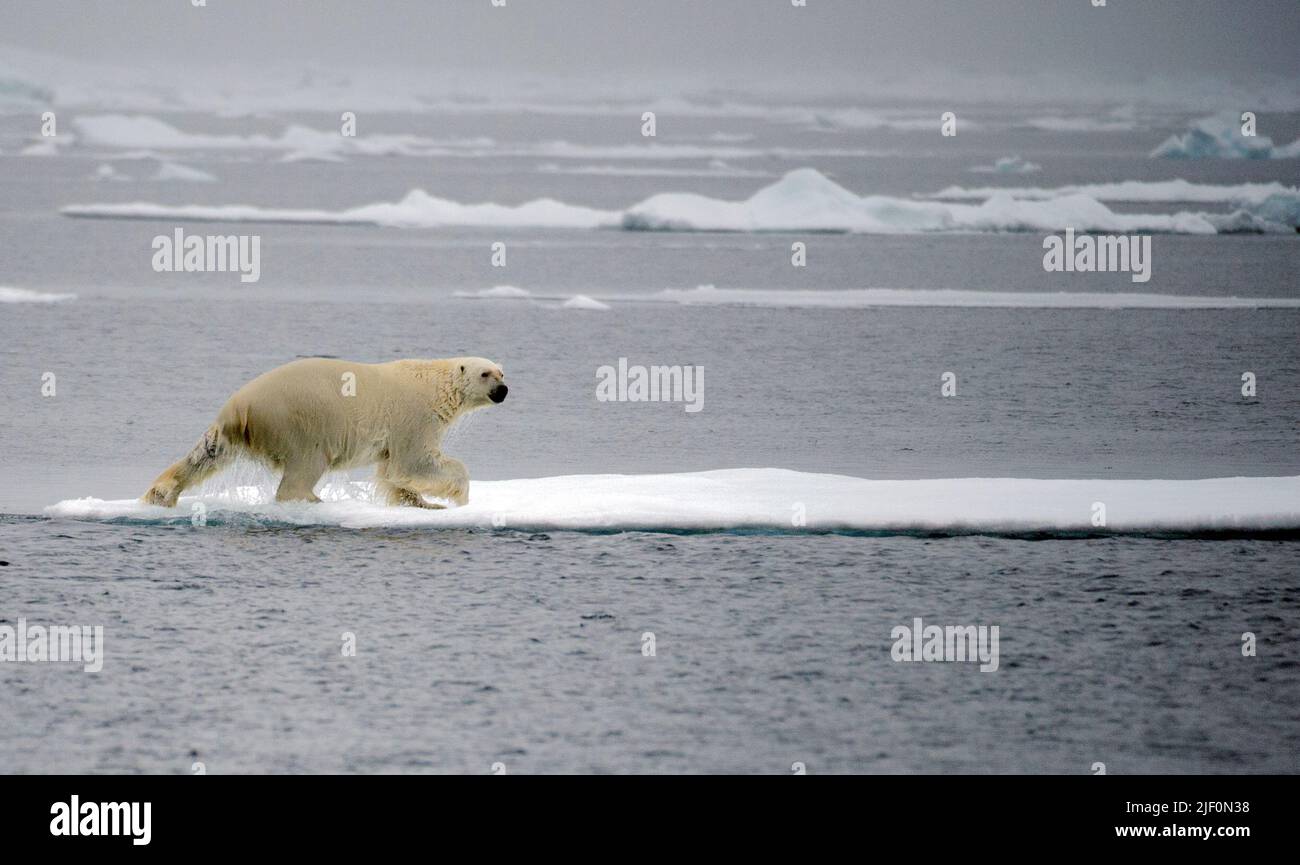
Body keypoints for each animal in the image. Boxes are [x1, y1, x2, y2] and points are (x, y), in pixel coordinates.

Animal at [141, 356, 507, 509]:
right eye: (485, 373)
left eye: (502, 372)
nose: (503, 390)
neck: (435, 383)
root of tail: (237, 407)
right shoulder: (414, 417)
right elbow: (414, 462)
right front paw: (459, 497)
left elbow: (392, 472)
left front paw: (422, 504)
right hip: (298, 421)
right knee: (305, 466)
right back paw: (313, 498)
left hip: (234, 434)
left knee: (206, 455)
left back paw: (161, 494)